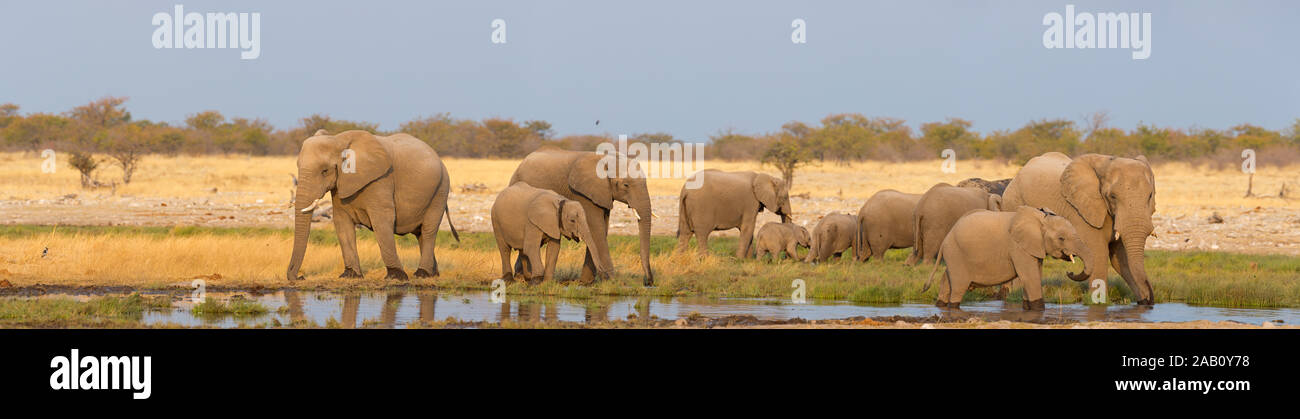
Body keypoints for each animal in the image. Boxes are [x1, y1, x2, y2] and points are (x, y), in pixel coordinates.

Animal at [286, 130, 459, 282]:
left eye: (324, 171)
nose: (301, 277)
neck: (338, 139)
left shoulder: (381, 180)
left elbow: (382, 221)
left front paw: (396, 277)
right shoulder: (340, 186)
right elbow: (342, 224)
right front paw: (350, 275)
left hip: (440, 190)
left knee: (429, 230)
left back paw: (422, 274)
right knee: (420, 234)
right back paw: (432, 274)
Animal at [509, 149, 653, 285]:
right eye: (626, 185)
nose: (648, 282)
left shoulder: (603, 195)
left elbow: (601, 230)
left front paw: (585, 283)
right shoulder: (583, 194)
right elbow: (596, 231)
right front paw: (613, 282)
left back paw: (521, 278)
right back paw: (521, 279)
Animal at [922, 206, 1095, 310]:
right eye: (1061, 238)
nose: (1069, 272)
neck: (1040, 218)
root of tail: (946, 237)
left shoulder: (1034, 247)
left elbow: (1035, 275)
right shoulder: (1018, 246)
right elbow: (1030, 277)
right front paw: (1038, 310)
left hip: (954, 254)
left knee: (947, 279)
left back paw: (941, 305)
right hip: (956, 252)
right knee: (958, 286)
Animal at [1001, 152, 1157, 305]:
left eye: (1150, 195)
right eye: (1112, 196)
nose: (1150, 299)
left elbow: (1121, 260)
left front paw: (1143, 301)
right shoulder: (1082, 212)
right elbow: (1099, 254)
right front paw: (1098, 303)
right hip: (1012, 203)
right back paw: (1013, 298)